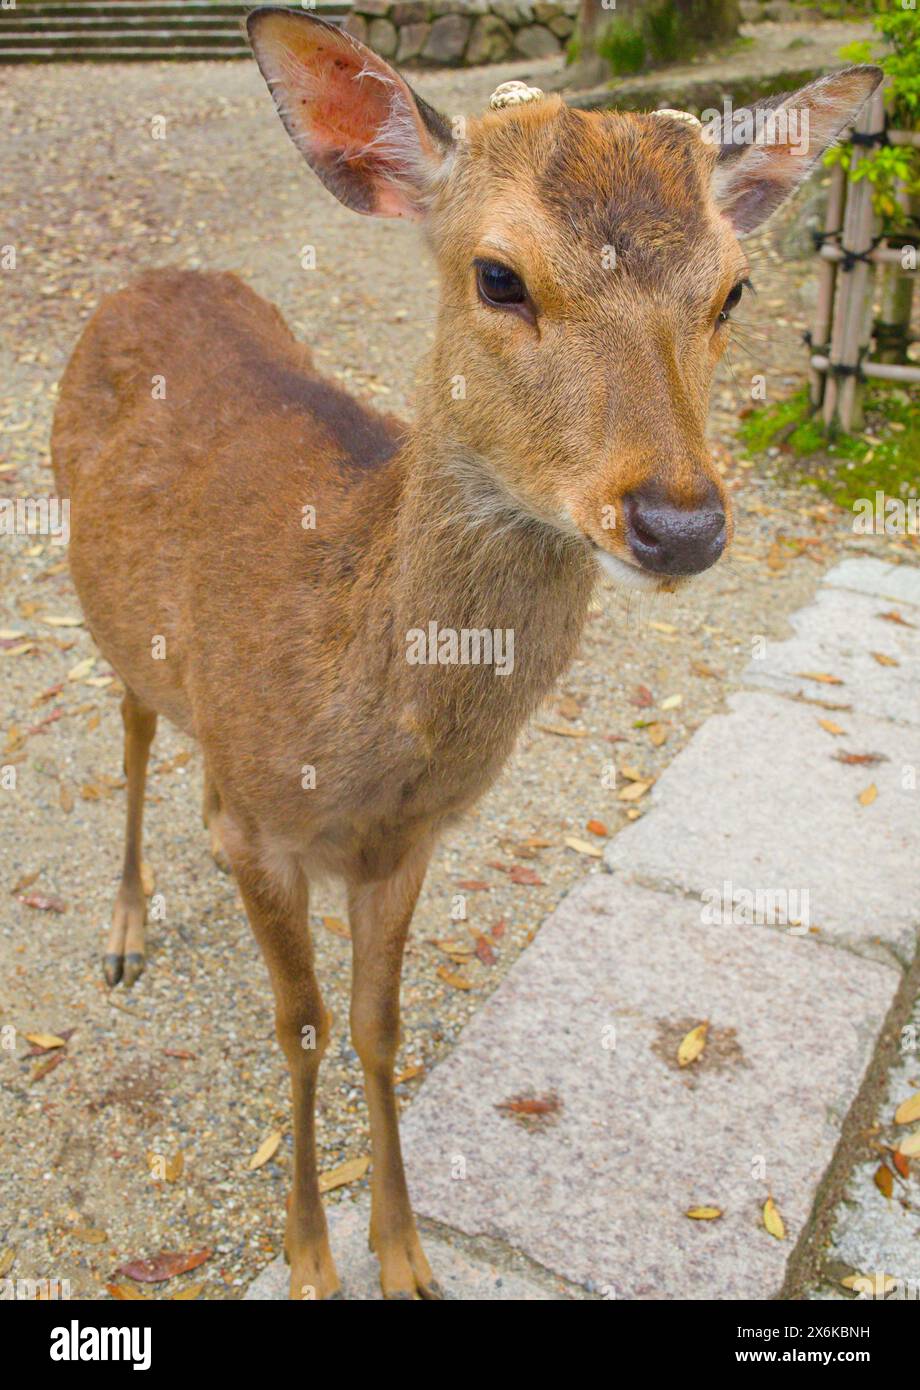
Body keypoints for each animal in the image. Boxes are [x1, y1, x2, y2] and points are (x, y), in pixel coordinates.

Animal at [50, 7, 880, 1299]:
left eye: (734, 289)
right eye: (498, 276)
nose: (679, 522)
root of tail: (146, 279)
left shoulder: (406, 843)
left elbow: (377, 1025)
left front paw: (404, 1254)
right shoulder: (255, 823)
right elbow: (300, 1023)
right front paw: (309, 1256)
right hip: (101, 600)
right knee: (134, 729)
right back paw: (125, 930)